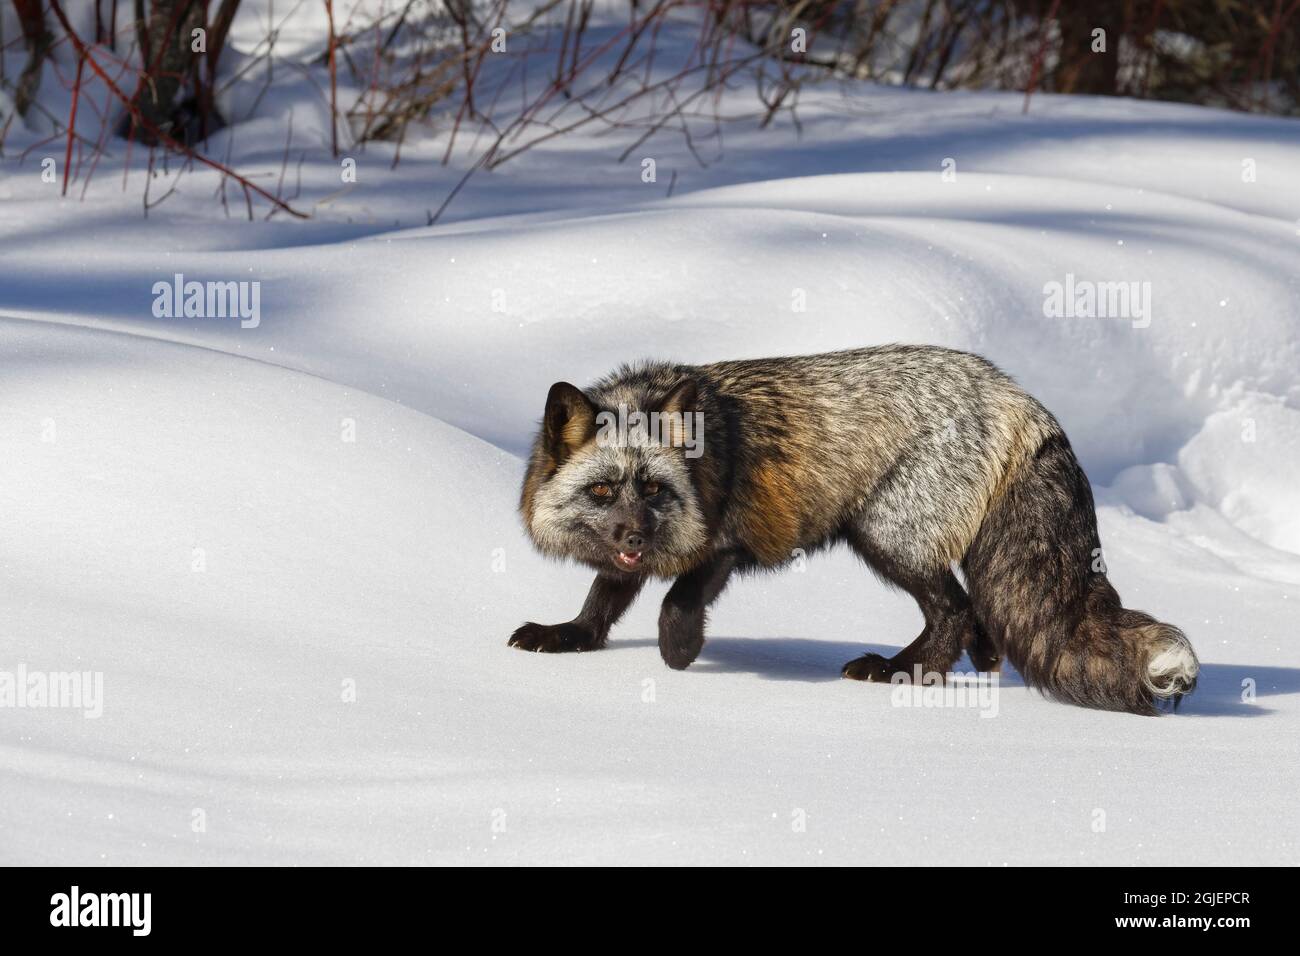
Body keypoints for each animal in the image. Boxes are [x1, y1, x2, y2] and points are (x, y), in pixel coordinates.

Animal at [510, 345, 1199, 715]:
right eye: (602, 491)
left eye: (654, 489)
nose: (634, 538)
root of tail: (1019, 396)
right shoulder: (629, 563)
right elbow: (601, 602)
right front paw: (569, 637)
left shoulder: (729, 542)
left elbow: (676, 602)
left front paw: (678, 653)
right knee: (978, 616)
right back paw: (979, 658)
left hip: (886, 536)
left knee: (954, 611)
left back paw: (901, 670)